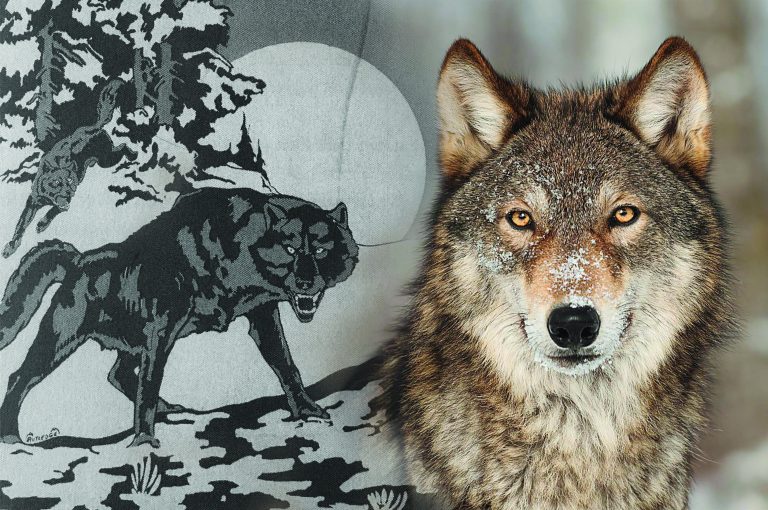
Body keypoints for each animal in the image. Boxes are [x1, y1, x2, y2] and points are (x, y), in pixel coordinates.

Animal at [0, 187, 358, 447]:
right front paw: (144, 442)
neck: (236, 246)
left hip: (130, 341)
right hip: (60, 340)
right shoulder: (161, 331)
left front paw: (307, 410)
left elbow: (285, 364)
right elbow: (148, 385)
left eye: (322, 250)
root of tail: (76, 259)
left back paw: (168, 407)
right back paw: (10, 438)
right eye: (290, 249)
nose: (306, 283)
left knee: (117, 374)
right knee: (19, 378)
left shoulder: (263, 314)